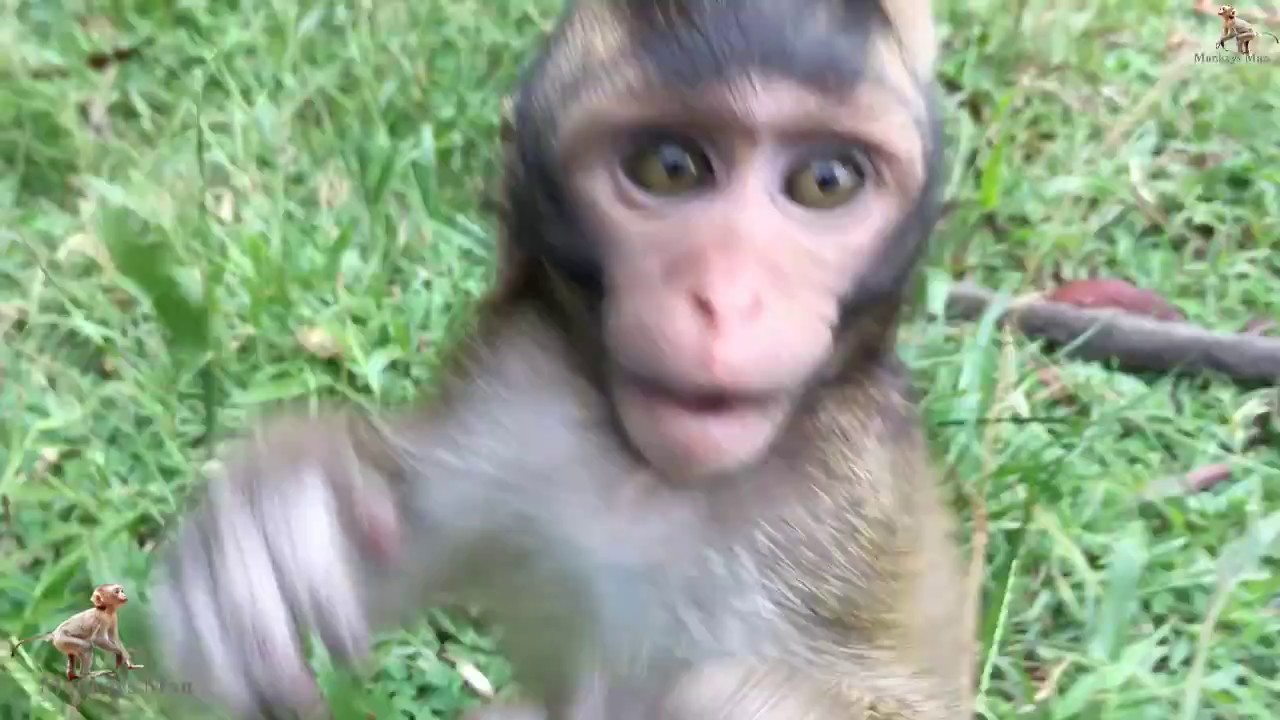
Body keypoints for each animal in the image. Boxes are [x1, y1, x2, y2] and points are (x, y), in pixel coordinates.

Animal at [10, 583, 144, 681]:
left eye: (122, 590)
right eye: (117, 591)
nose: (124, 594)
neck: (105, 610)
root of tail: (54, 634)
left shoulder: (113, 617)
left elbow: (114, 638)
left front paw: (127, 661)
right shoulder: (101, 618)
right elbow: (98, 640)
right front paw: (119, 654)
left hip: (61, 643)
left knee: (72, 653)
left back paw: (73, 676)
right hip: (63, 639)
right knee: (87, 647)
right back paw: (86, 674)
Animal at [149, 1, 972, 718]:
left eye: (825, 182)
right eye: (670, 166)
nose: (728, 297)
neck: (655, 485)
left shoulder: (849, 498)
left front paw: (736, 702)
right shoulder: (517, 381)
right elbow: (394, 521)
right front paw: (273, 523)